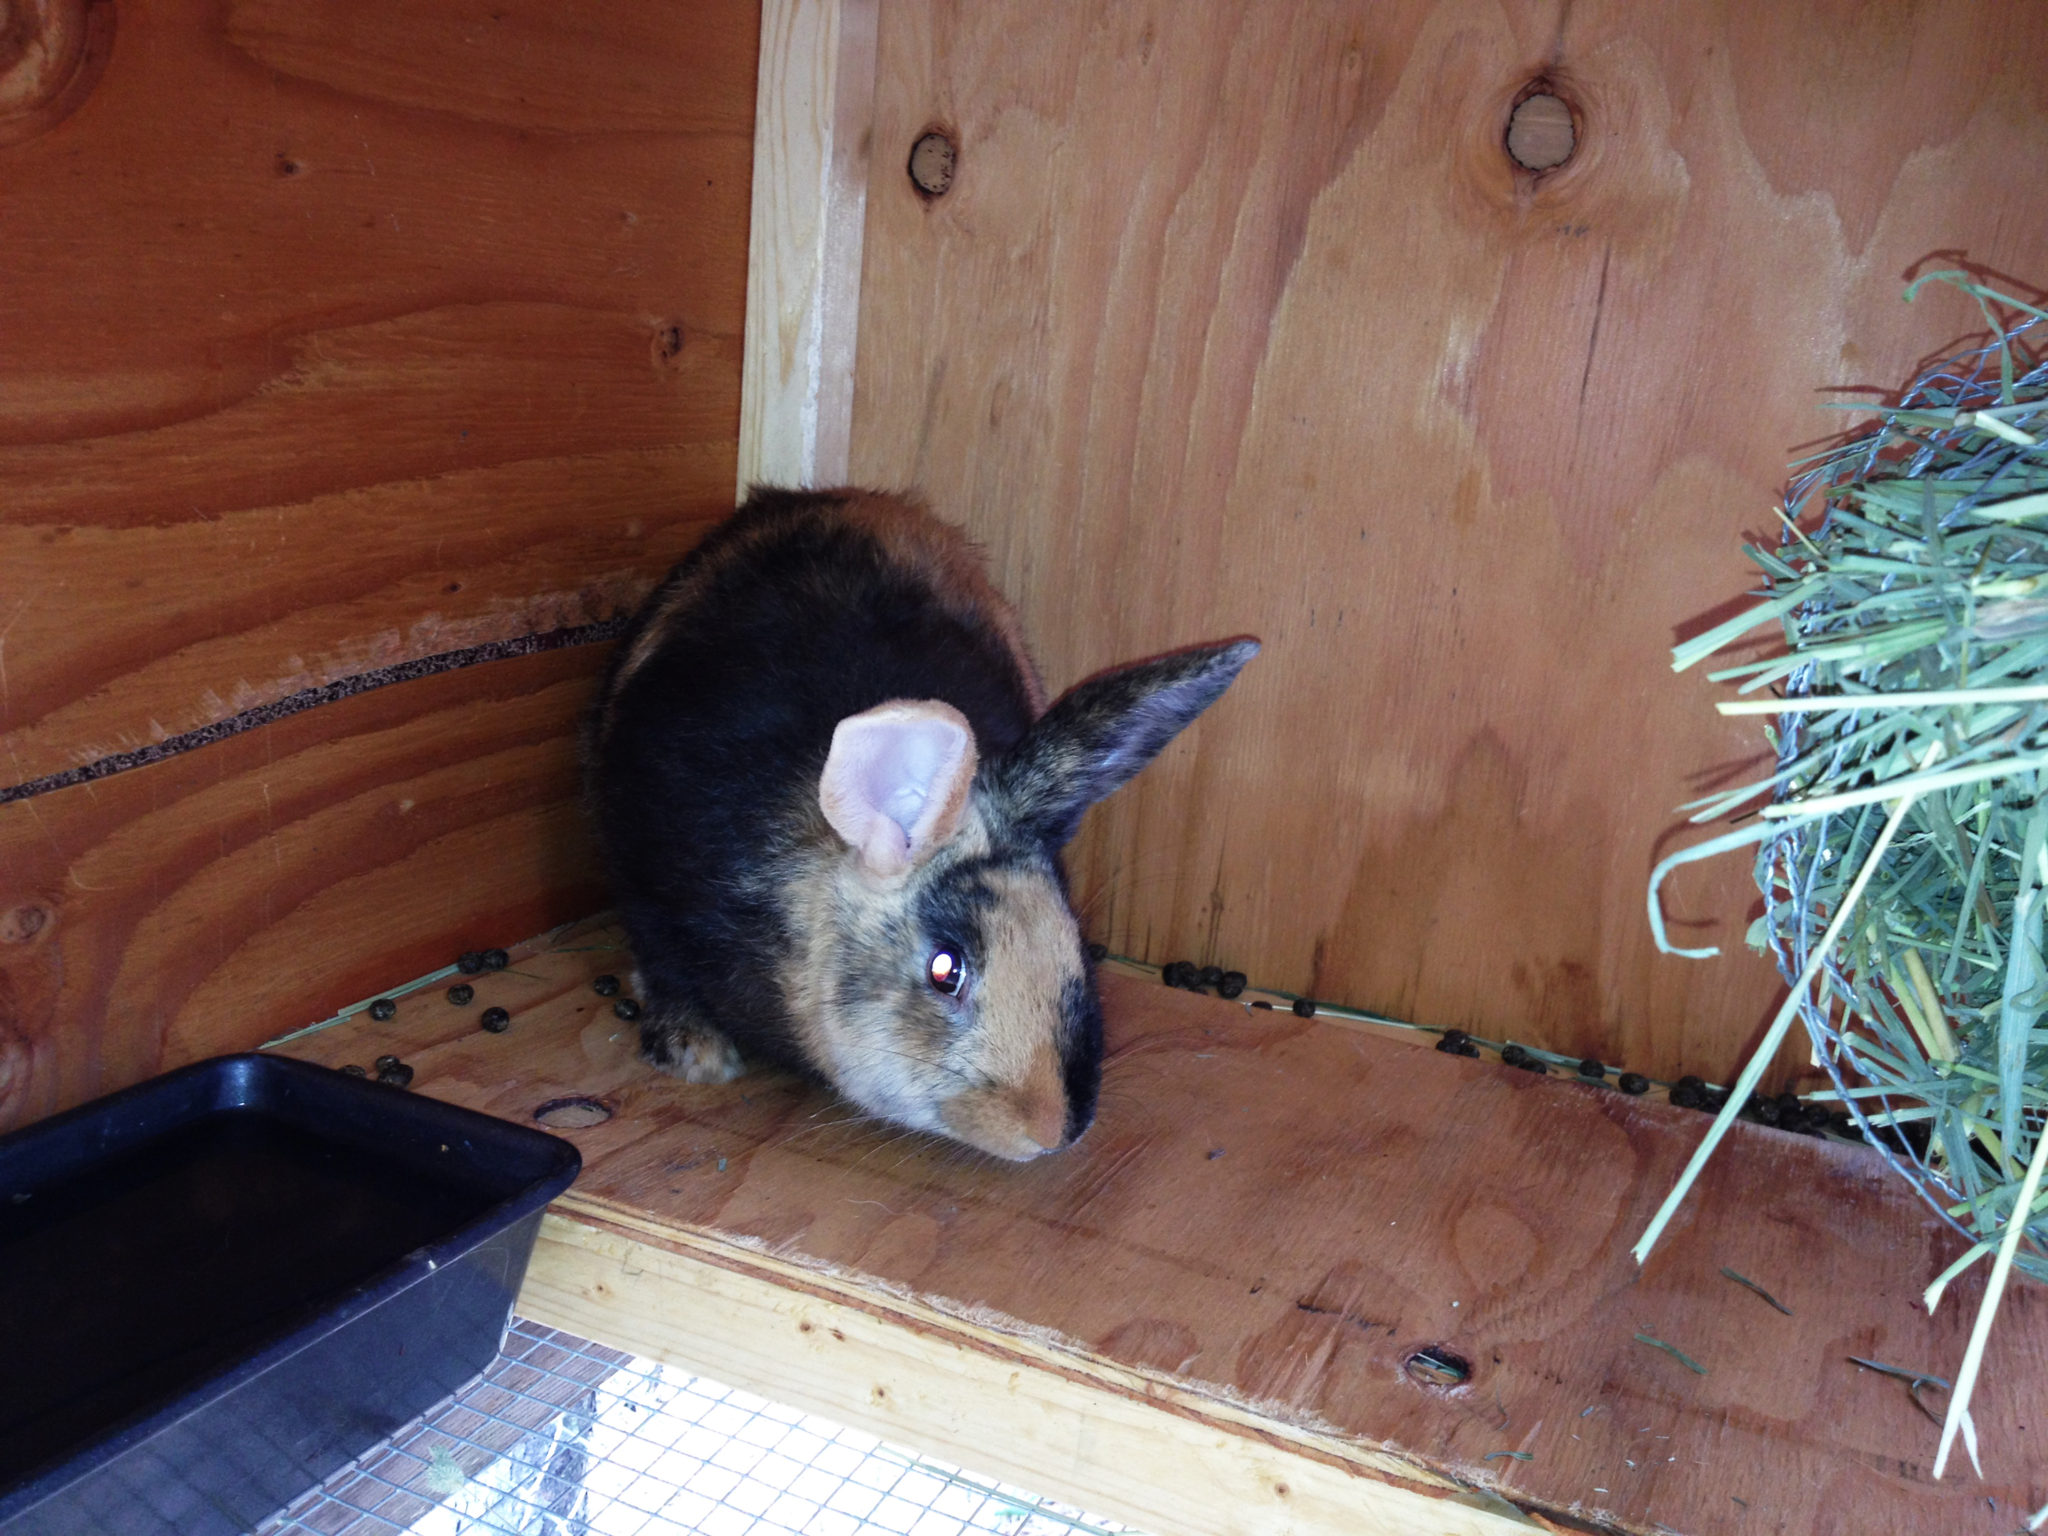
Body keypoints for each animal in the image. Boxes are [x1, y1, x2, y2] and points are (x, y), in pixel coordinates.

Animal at [586, 488, 1258, 1161]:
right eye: (945, 969)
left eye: (1074, 937)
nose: (1051, 1129)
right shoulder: (641, 881)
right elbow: (663, 963)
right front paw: (696, 1054)